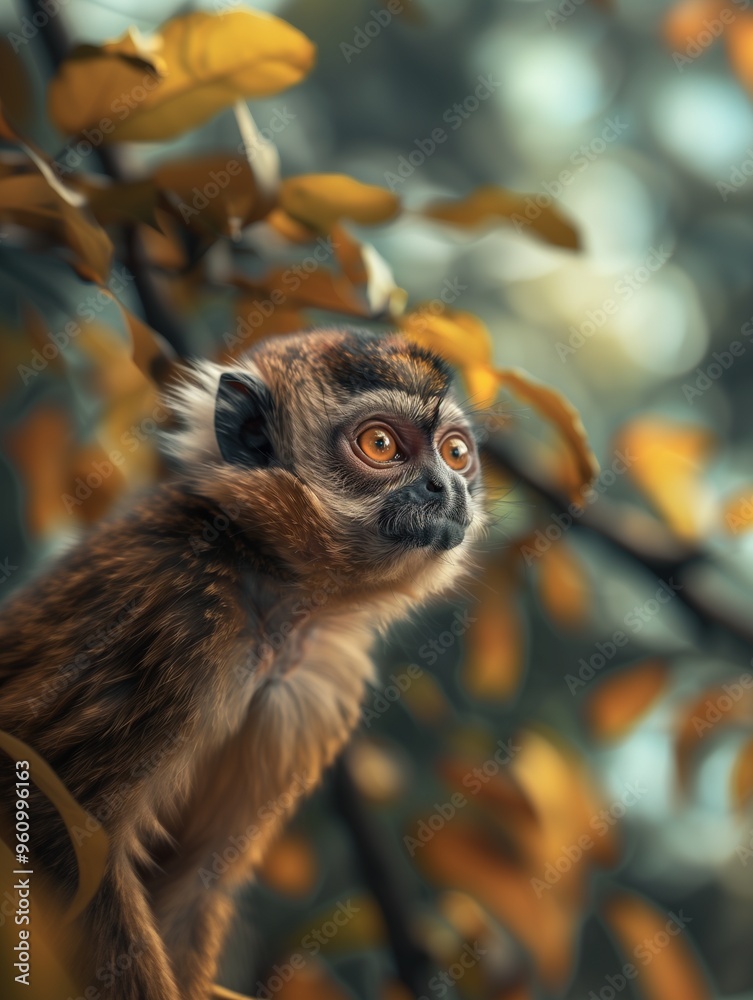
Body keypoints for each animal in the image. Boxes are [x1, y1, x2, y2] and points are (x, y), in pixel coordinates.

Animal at [0, 328, 485, 1000]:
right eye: (381, 445)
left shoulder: (312, 688)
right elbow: (57, 830)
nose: (450, 488)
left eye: (456, 453)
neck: (272, 587)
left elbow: (197, 879)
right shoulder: (183, 611)